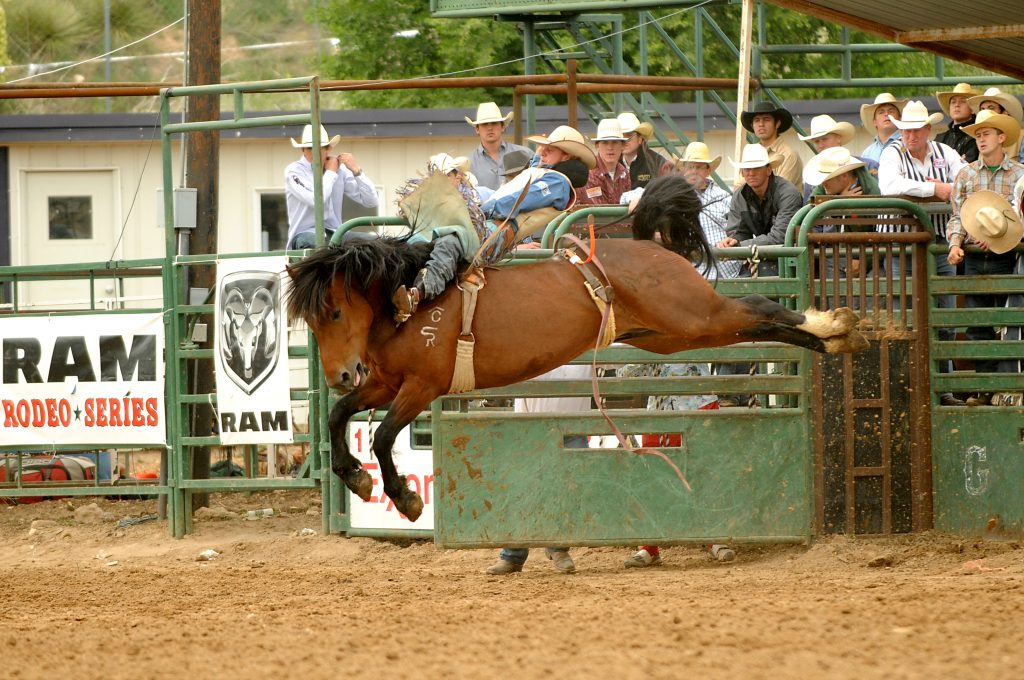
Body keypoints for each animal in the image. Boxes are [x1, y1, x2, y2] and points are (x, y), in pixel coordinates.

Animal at [286, 179, 868, 522]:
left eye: (334, 312)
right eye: (309, 321)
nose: (340, 373)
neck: (408, 302)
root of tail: (648, 245)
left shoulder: (422, 387)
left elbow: (383, 436)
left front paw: (403, 496)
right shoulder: (383, 383)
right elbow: (338, 417)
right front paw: (357, 479)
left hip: (692, 315)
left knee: (758, 305)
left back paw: (838, 324)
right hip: (674, 334)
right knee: (757, 321)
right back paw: (836, 337)